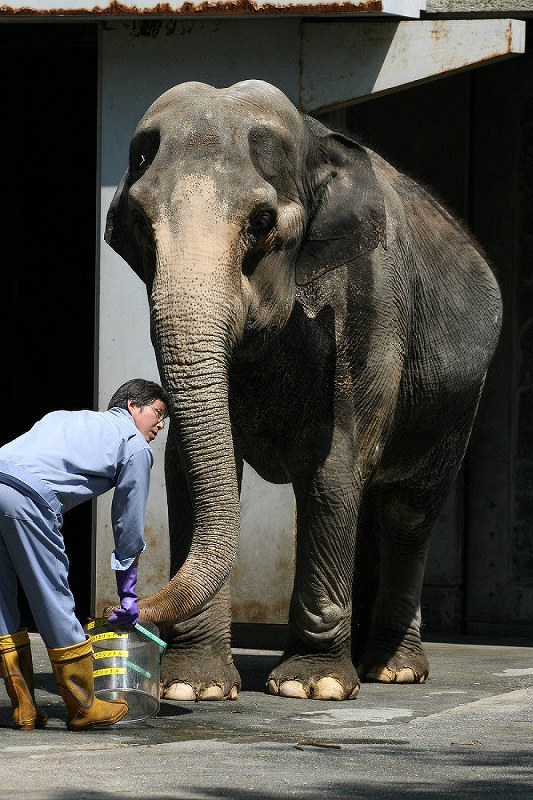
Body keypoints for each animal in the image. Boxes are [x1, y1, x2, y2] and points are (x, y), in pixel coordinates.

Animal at [105, 79, 501, 702]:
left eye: (263, 221)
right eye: (142, 226)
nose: (121, 610)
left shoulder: (369, 306)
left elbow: (334, 468)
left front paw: (313, 686)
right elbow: (189, 470)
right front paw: (194, 688)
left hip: (460, 399)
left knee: (409, 512)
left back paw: (393, 672)